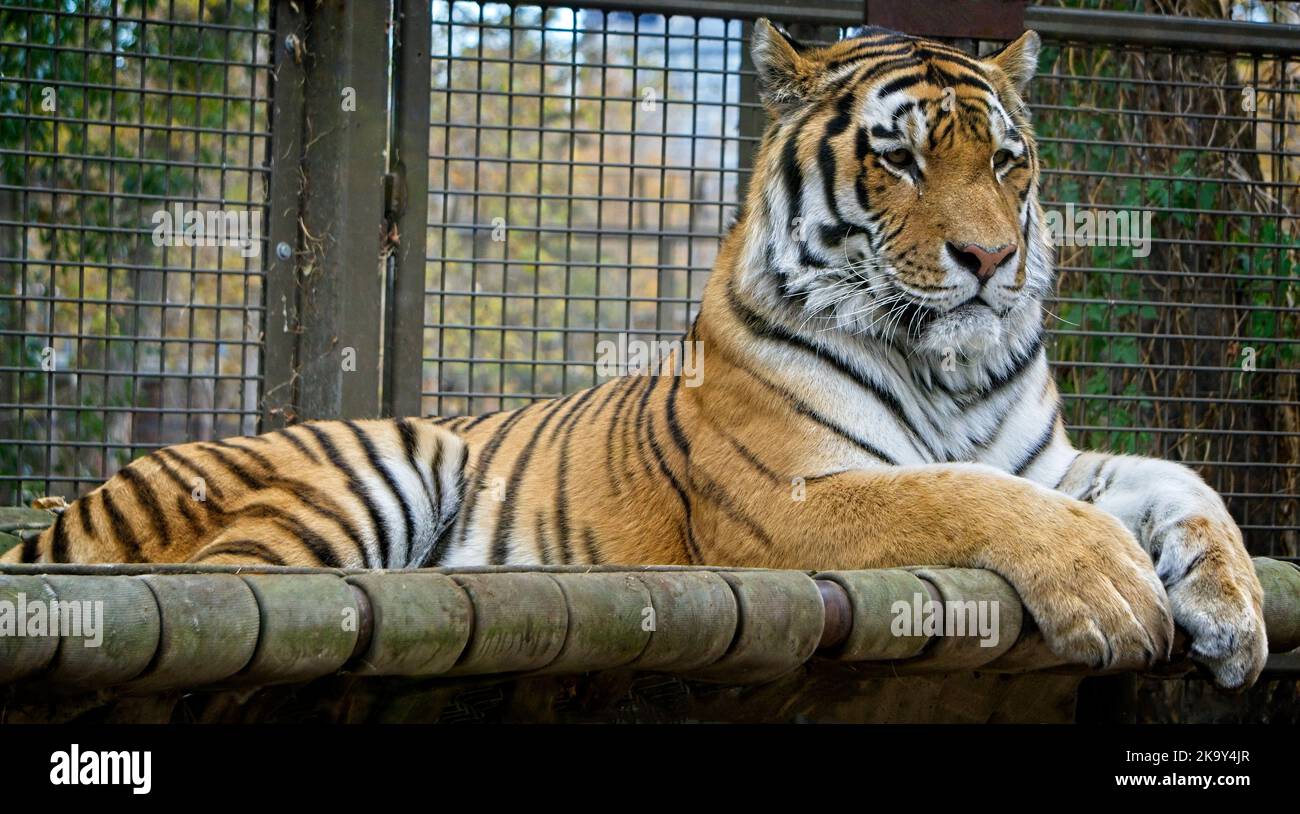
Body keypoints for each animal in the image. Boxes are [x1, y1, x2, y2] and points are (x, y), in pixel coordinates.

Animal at [3, 20, 1267, 690]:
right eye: (900, 159)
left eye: (1006, 162)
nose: (993, 259)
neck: (945, 365)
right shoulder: (793, 500)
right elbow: (962, 495)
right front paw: (1113, 592)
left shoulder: (1050, 462)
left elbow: (1182, 480)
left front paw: (1236, 611)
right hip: (367, 469)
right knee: (234, 592)